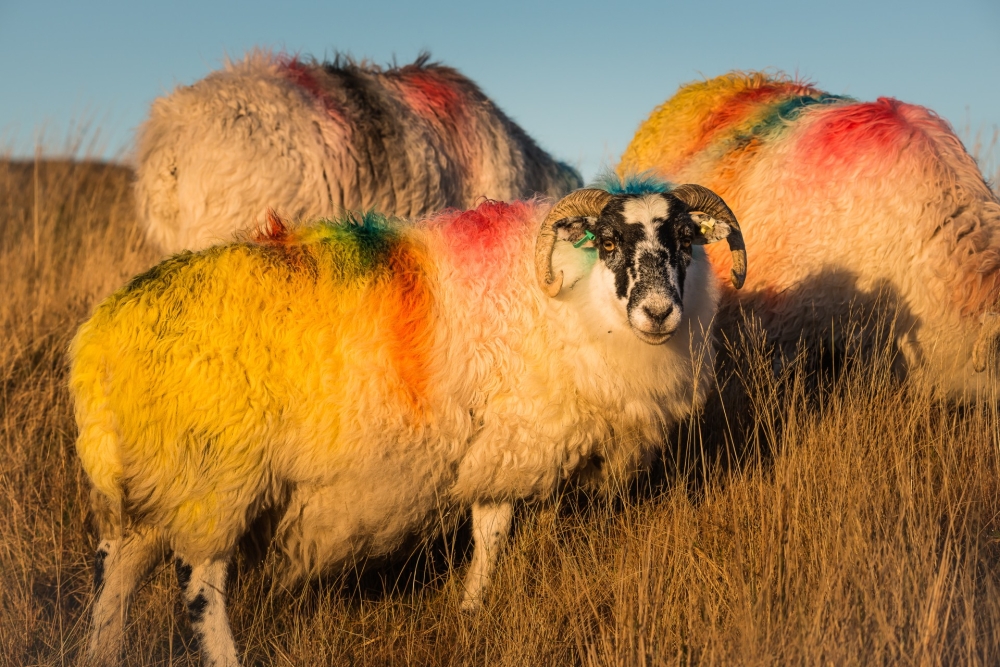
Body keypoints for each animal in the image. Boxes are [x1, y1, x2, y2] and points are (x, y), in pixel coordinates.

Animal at [71, 180, 746, 666]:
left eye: (686, 240)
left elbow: (491, 533)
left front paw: (469, 612)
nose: (658, 312)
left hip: (151, 483)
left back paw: (100, 652)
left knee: (116, 571)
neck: (568, 300)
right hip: (212, 477)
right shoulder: (509, 442)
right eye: (608, 244)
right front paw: (475, 609)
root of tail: (99, 340)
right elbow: (493, 530)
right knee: (200, 588)